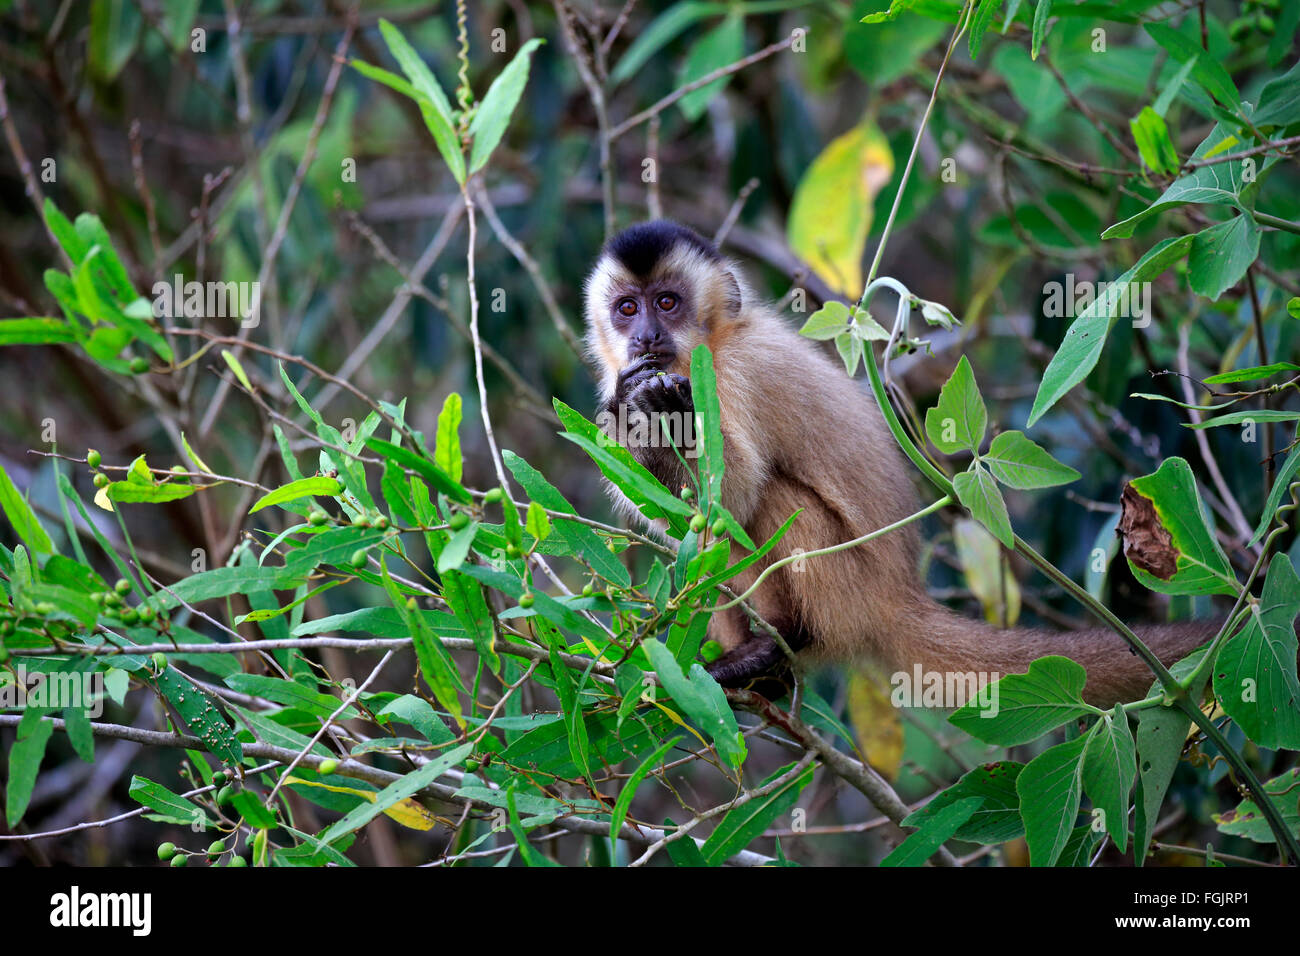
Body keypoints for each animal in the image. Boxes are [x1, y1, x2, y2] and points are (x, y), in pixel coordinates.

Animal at [583, 219, 1220, 708]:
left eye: (667, 303)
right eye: (626, 309)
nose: (645, 336)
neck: (708, 346)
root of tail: (897, 598)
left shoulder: (738, 370)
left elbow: (729, 502)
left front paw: (664, 410)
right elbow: (678, 517)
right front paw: (632, 403)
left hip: (849, 593)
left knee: (771, 506)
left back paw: (779, 642)